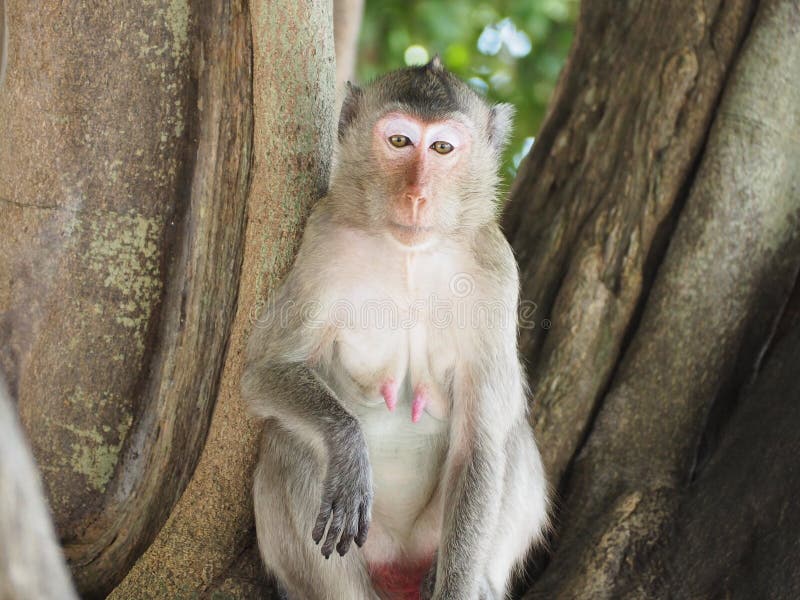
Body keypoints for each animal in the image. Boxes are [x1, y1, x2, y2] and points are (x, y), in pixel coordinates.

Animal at [242, 57, 549, 600]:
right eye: (400, 141)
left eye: (442, 148)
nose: (416, 196)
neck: (408, 253)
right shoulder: (323, 242)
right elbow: (265, 368)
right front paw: (347, 448)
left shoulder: (495, 269)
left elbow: (480, 440)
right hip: (371, 545)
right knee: (287, 447)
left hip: (432, 539)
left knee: (506, 436)